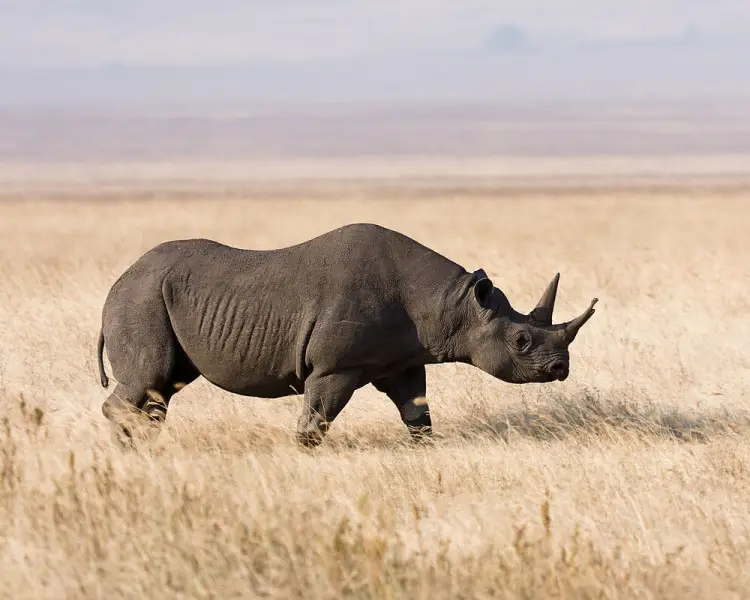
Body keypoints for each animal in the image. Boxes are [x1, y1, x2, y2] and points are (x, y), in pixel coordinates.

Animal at [97, 223, 597, 447]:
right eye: (521, 342)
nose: (561, 368)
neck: (452, 305)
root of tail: (117, 282)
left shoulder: (402, 359)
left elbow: (418, 413)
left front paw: (424, 450)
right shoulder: (335, 366)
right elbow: (316, 420)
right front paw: (303, 455)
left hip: (151, 296)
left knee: (164, 386)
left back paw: (144, 446)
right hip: (140, 299)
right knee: (151, 377)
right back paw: (130, 448)